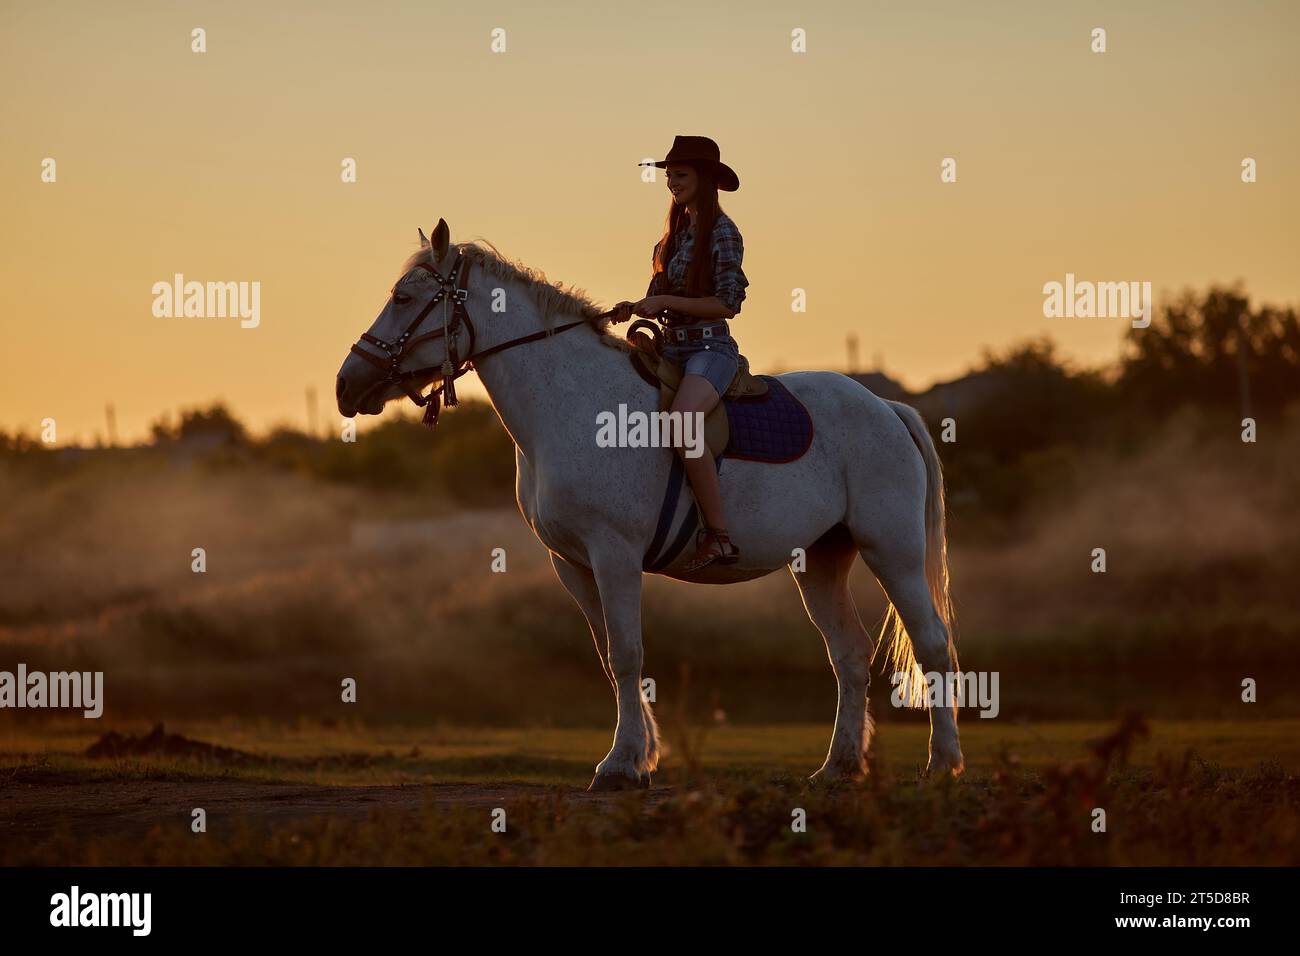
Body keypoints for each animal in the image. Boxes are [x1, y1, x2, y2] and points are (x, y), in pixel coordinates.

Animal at [335, 219, 963, 790]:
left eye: (404, 298)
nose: (346, 386)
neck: (569, 404)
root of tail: (884, 407)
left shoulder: (614, 555)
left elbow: (627, 653)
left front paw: (620, 765)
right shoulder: (572, 564)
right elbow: (610, 659)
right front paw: (640, 756)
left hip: (893, 551)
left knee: (932, 643)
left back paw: (943, 763)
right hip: (821, 561)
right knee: (849, 655)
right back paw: (838, 767)